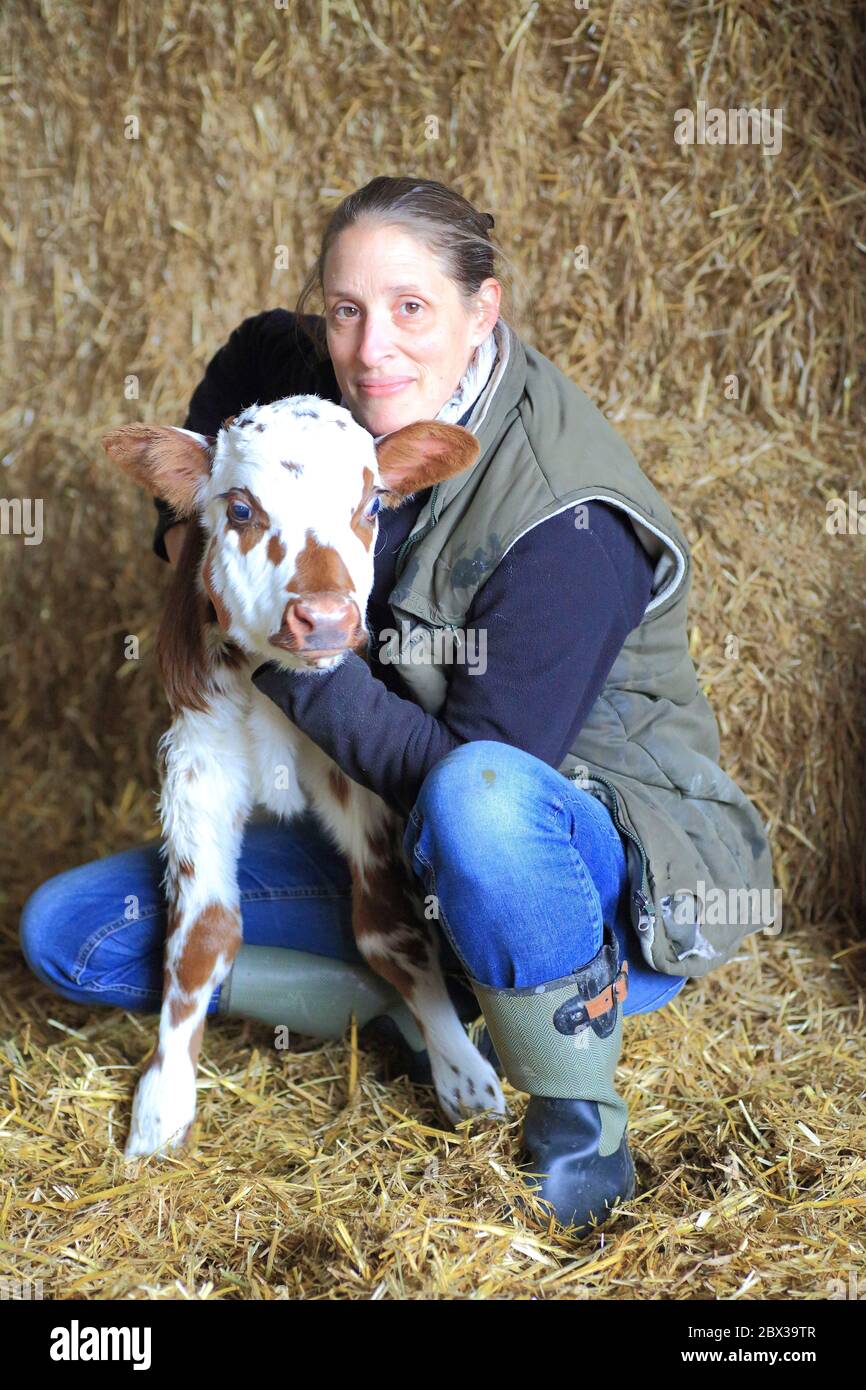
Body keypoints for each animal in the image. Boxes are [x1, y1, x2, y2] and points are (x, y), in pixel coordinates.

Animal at [101, 397, 507, 1159]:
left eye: (372, 504)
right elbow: (201, 939)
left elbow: (388, 930)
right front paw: (161, 1107)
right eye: (240, 509)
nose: (325, 618)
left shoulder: (358, 779)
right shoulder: (198, 767)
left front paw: (462, 1074)